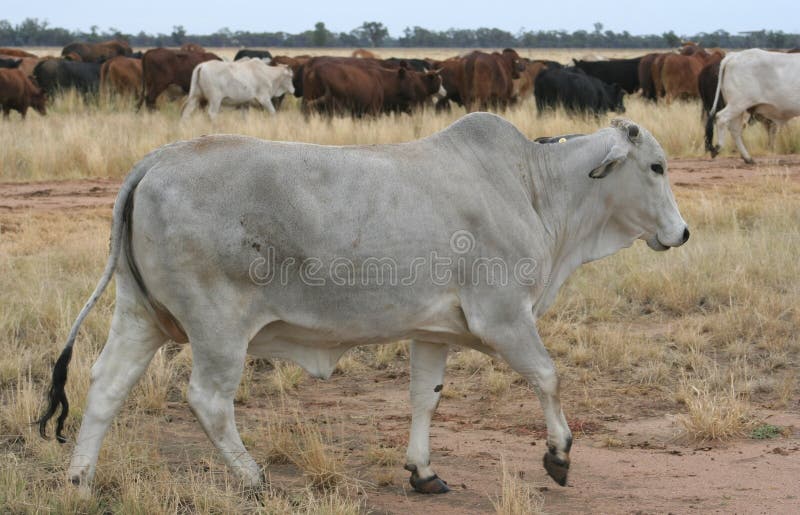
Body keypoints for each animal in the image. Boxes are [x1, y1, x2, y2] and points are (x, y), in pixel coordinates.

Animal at [37, 113, 689, 494]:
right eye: (656, 166)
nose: (681, 234)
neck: (533, 186)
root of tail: (159, 159)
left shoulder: (433, 332)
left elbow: (425, 398)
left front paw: (423, 471)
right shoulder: (505, 318)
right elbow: (549, 377)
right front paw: (559, 455)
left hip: (138, 316)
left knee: (106, 385)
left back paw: (80, 479)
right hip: (219, 330)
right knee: (208, 401)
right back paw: (253, 478)